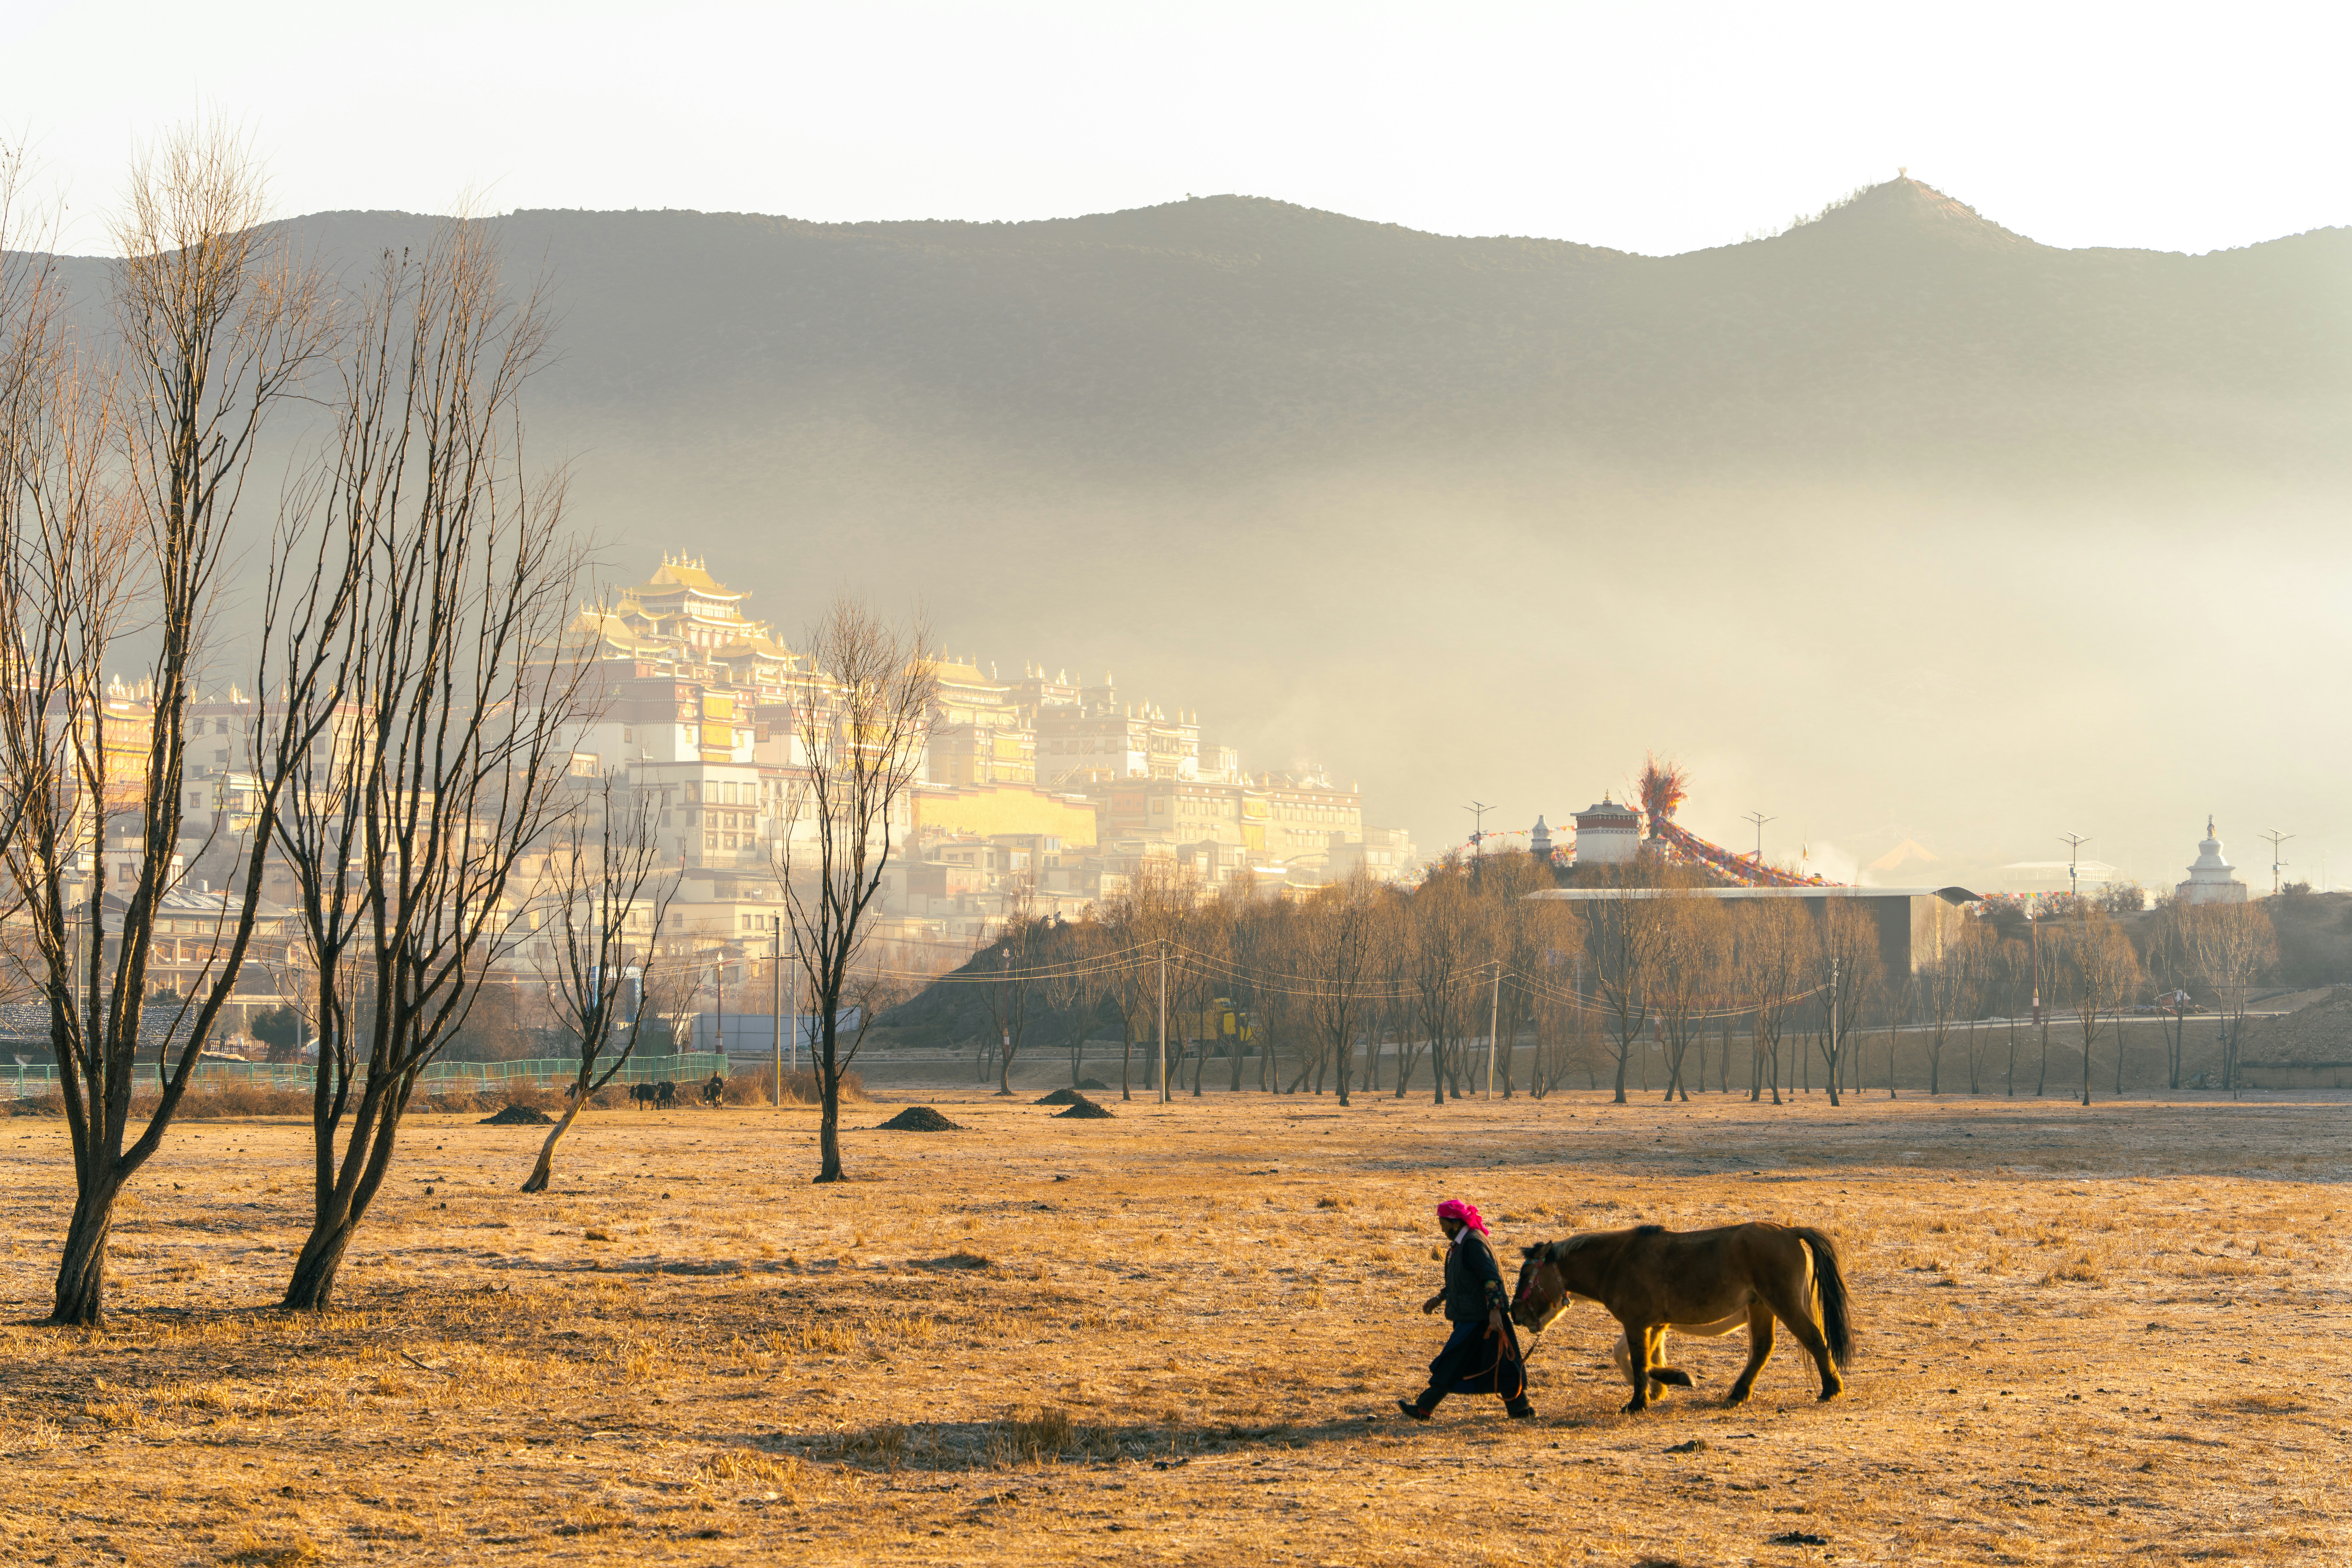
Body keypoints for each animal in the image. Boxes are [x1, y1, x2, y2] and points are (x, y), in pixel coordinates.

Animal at [1510, 1222, 1853, 1413]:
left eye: (1526, 1274)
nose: (1514, 1313)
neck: (1615, 1262)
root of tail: (1789, 1231)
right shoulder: (1654, 1325)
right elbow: (1639, 1359)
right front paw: (1660, 1387)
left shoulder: (1637, 1323)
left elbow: (1640, 1361)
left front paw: (1641, 1400)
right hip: (1761, 1307)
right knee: (1762, 1349)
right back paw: (1737, 1394)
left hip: (1782, 1302)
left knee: (1813, 1339)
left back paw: (1830, 1389)